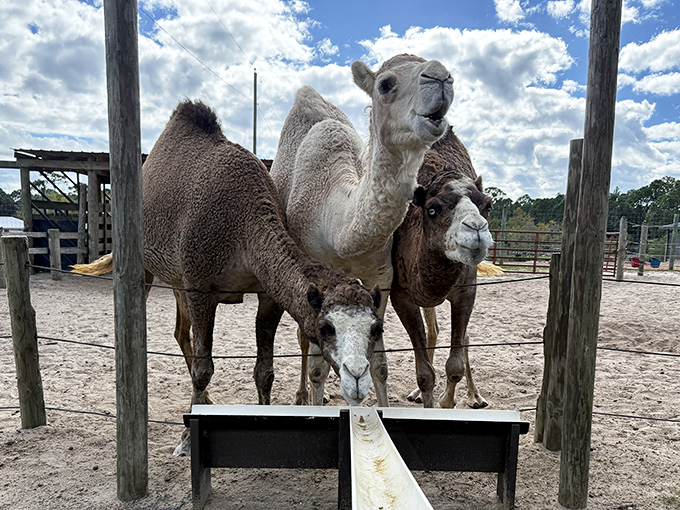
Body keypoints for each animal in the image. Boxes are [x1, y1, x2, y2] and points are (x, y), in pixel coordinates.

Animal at [73, 99, 384, 456]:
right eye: (326, 327)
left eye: (375, 328)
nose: (357, 376)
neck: (243, 226)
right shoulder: (200, 287)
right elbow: (203, 368)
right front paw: (186, 442)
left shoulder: (268, 293)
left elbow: (264, 371)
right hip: (150, 268)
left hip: (176, 279)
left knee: (181, 332)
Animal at [266, 54, 454, 406]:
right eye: (385, 84)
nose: (441, 77)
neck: (340, 231)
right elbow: (318, 367)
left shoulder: (381, 276)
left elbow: (379, 365)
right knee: (301, 337)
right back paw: (303, 395)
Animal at [390, 127, 494, 409]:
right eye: (432, 209)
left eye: (488, 205)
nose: (476, 230)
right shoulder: (400, 294)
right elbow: (425, 374)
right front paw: (424, 393)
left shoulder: (466, 291)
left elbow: (454, 366)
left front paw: (448, 402)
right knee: (433, 332)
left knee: (462, 338)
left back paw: (475, 396)